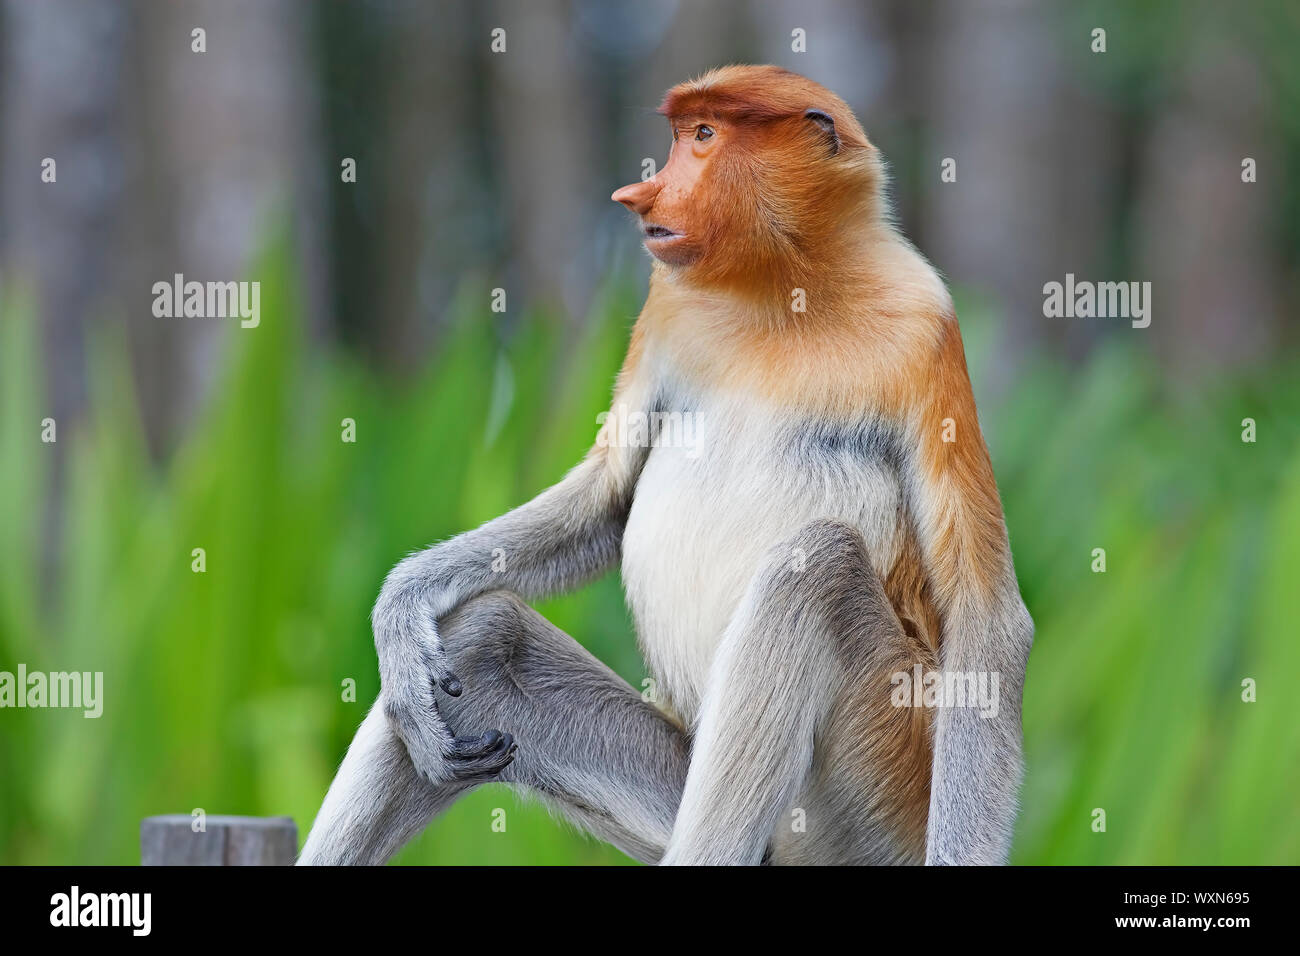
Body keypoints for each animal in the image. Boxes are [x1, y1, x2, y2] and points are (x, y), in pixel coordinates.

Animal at [299, 65, 1033, 866]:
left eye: (704, 135)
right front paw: (402, 615)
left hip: (889, 773)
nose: (638, 195)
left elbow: (985, 618)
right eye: (683, 134)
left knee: (818, 569)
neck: (786, 285)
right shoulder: (666, 306)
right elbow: (608, 501)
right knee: (490, 640)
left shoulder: (927, 327)